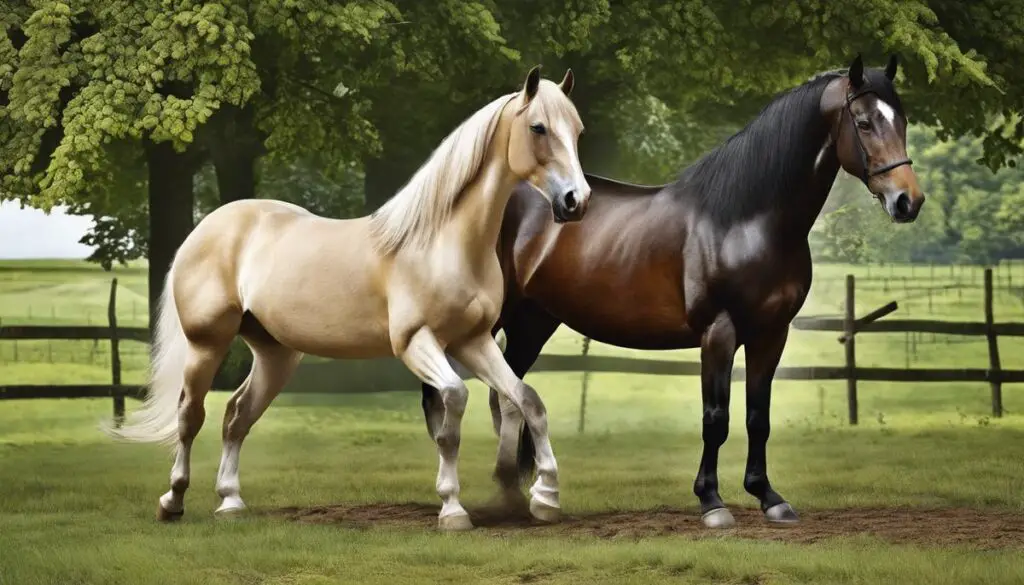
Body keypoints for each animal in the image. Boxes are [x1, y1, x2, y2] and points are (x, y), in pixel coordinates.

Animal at [106, 66, 592, 532]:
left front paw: (546, 498)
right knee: (191, 416)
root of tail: (208, 227)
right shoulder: (416, 343)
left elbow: (528, 400)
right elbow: (453, 408)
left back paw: (231, 502)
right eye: (538, 128)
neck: (443, 242)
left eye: (578, 130)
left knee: (236, 414)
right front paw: (453, 509)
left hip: (275, 354)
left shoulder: (473, 341)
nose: (577, 201)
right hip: (207, 344)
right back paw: (172, 501)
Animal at [421, 54, 925, 528]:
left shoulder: (771, 334)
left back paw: (513, 493)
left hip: (532, 320)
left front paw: (768, 497)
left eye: (901, 121)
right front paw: (712, 502)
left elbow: (757, 416)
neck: (747, 219)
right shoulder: (718, 333)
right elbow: (716, 418)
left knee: (507, 396)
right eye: (864, 122)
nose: (908, 201)